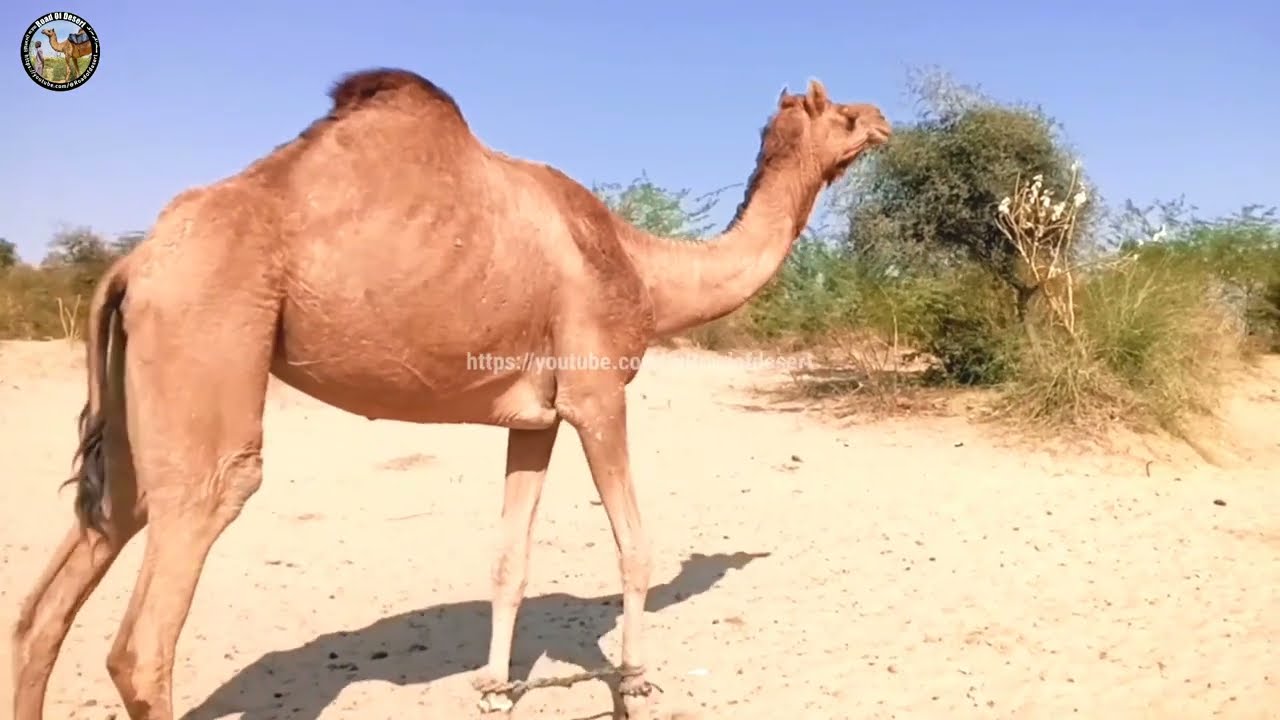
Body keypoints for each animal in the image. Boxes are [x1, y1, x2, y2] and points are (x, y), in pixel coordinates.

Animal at [10, 68, 890, 720]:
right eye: (843, 112)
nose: (885, 119)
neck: (645, 270)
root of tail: (133, 264)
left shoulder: (534, 417)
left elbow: (509, 557)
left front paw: (495, 685)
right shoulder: (597, 393)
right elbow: (634, 545)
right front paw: (636, 679)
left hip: (138, 399)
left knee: (52, 597)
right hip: (207, 337)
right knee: (150, 629)